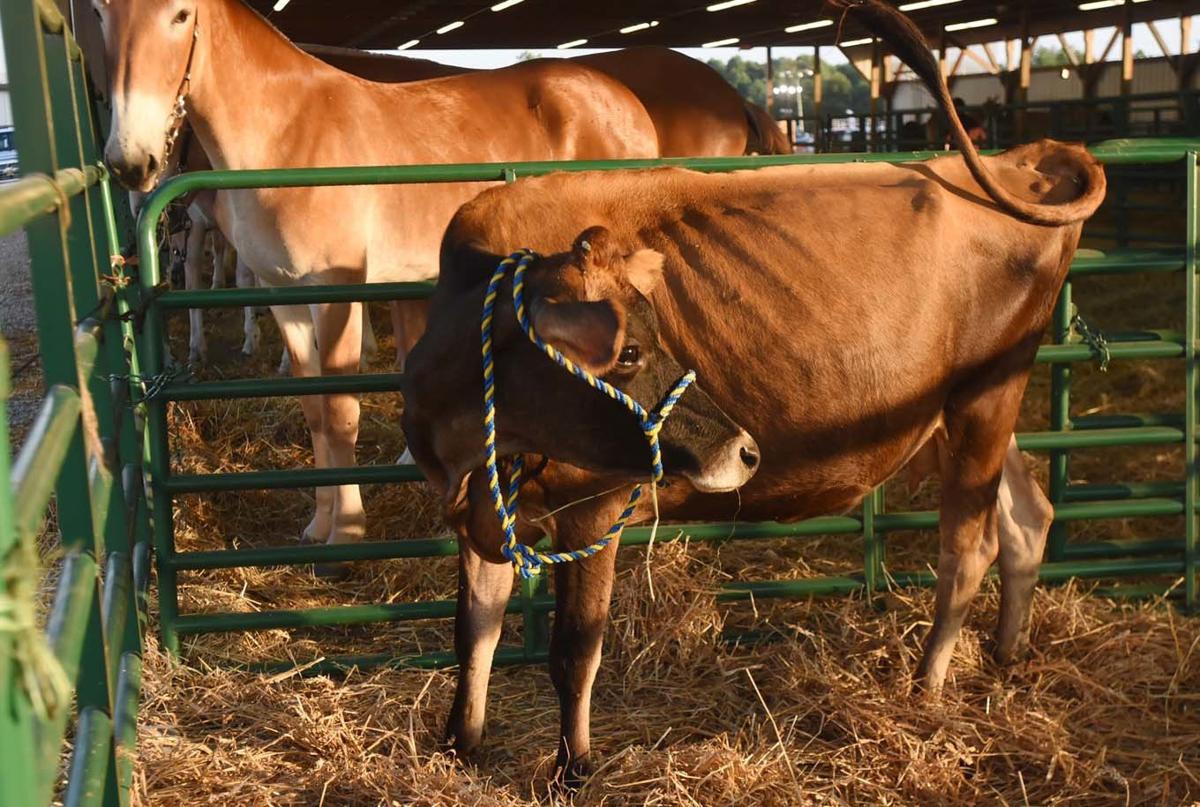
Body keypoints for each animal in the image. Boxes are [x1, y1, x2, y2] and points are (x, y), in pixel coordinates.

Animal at [400, 0, 1106, 787]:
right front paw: (459, 741)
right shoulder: (480, 508)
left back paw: (927, 681)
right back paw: (1007, 652)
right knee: (1026, 517)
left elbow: (574, 648)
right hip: (959, 413)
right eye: (631, 351)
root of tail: (1014, 165)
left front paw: (573, 768)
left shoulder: (593, 506)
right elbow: (474, 628)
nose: (743, 451)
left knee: (968, 542)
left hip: (987, 398)